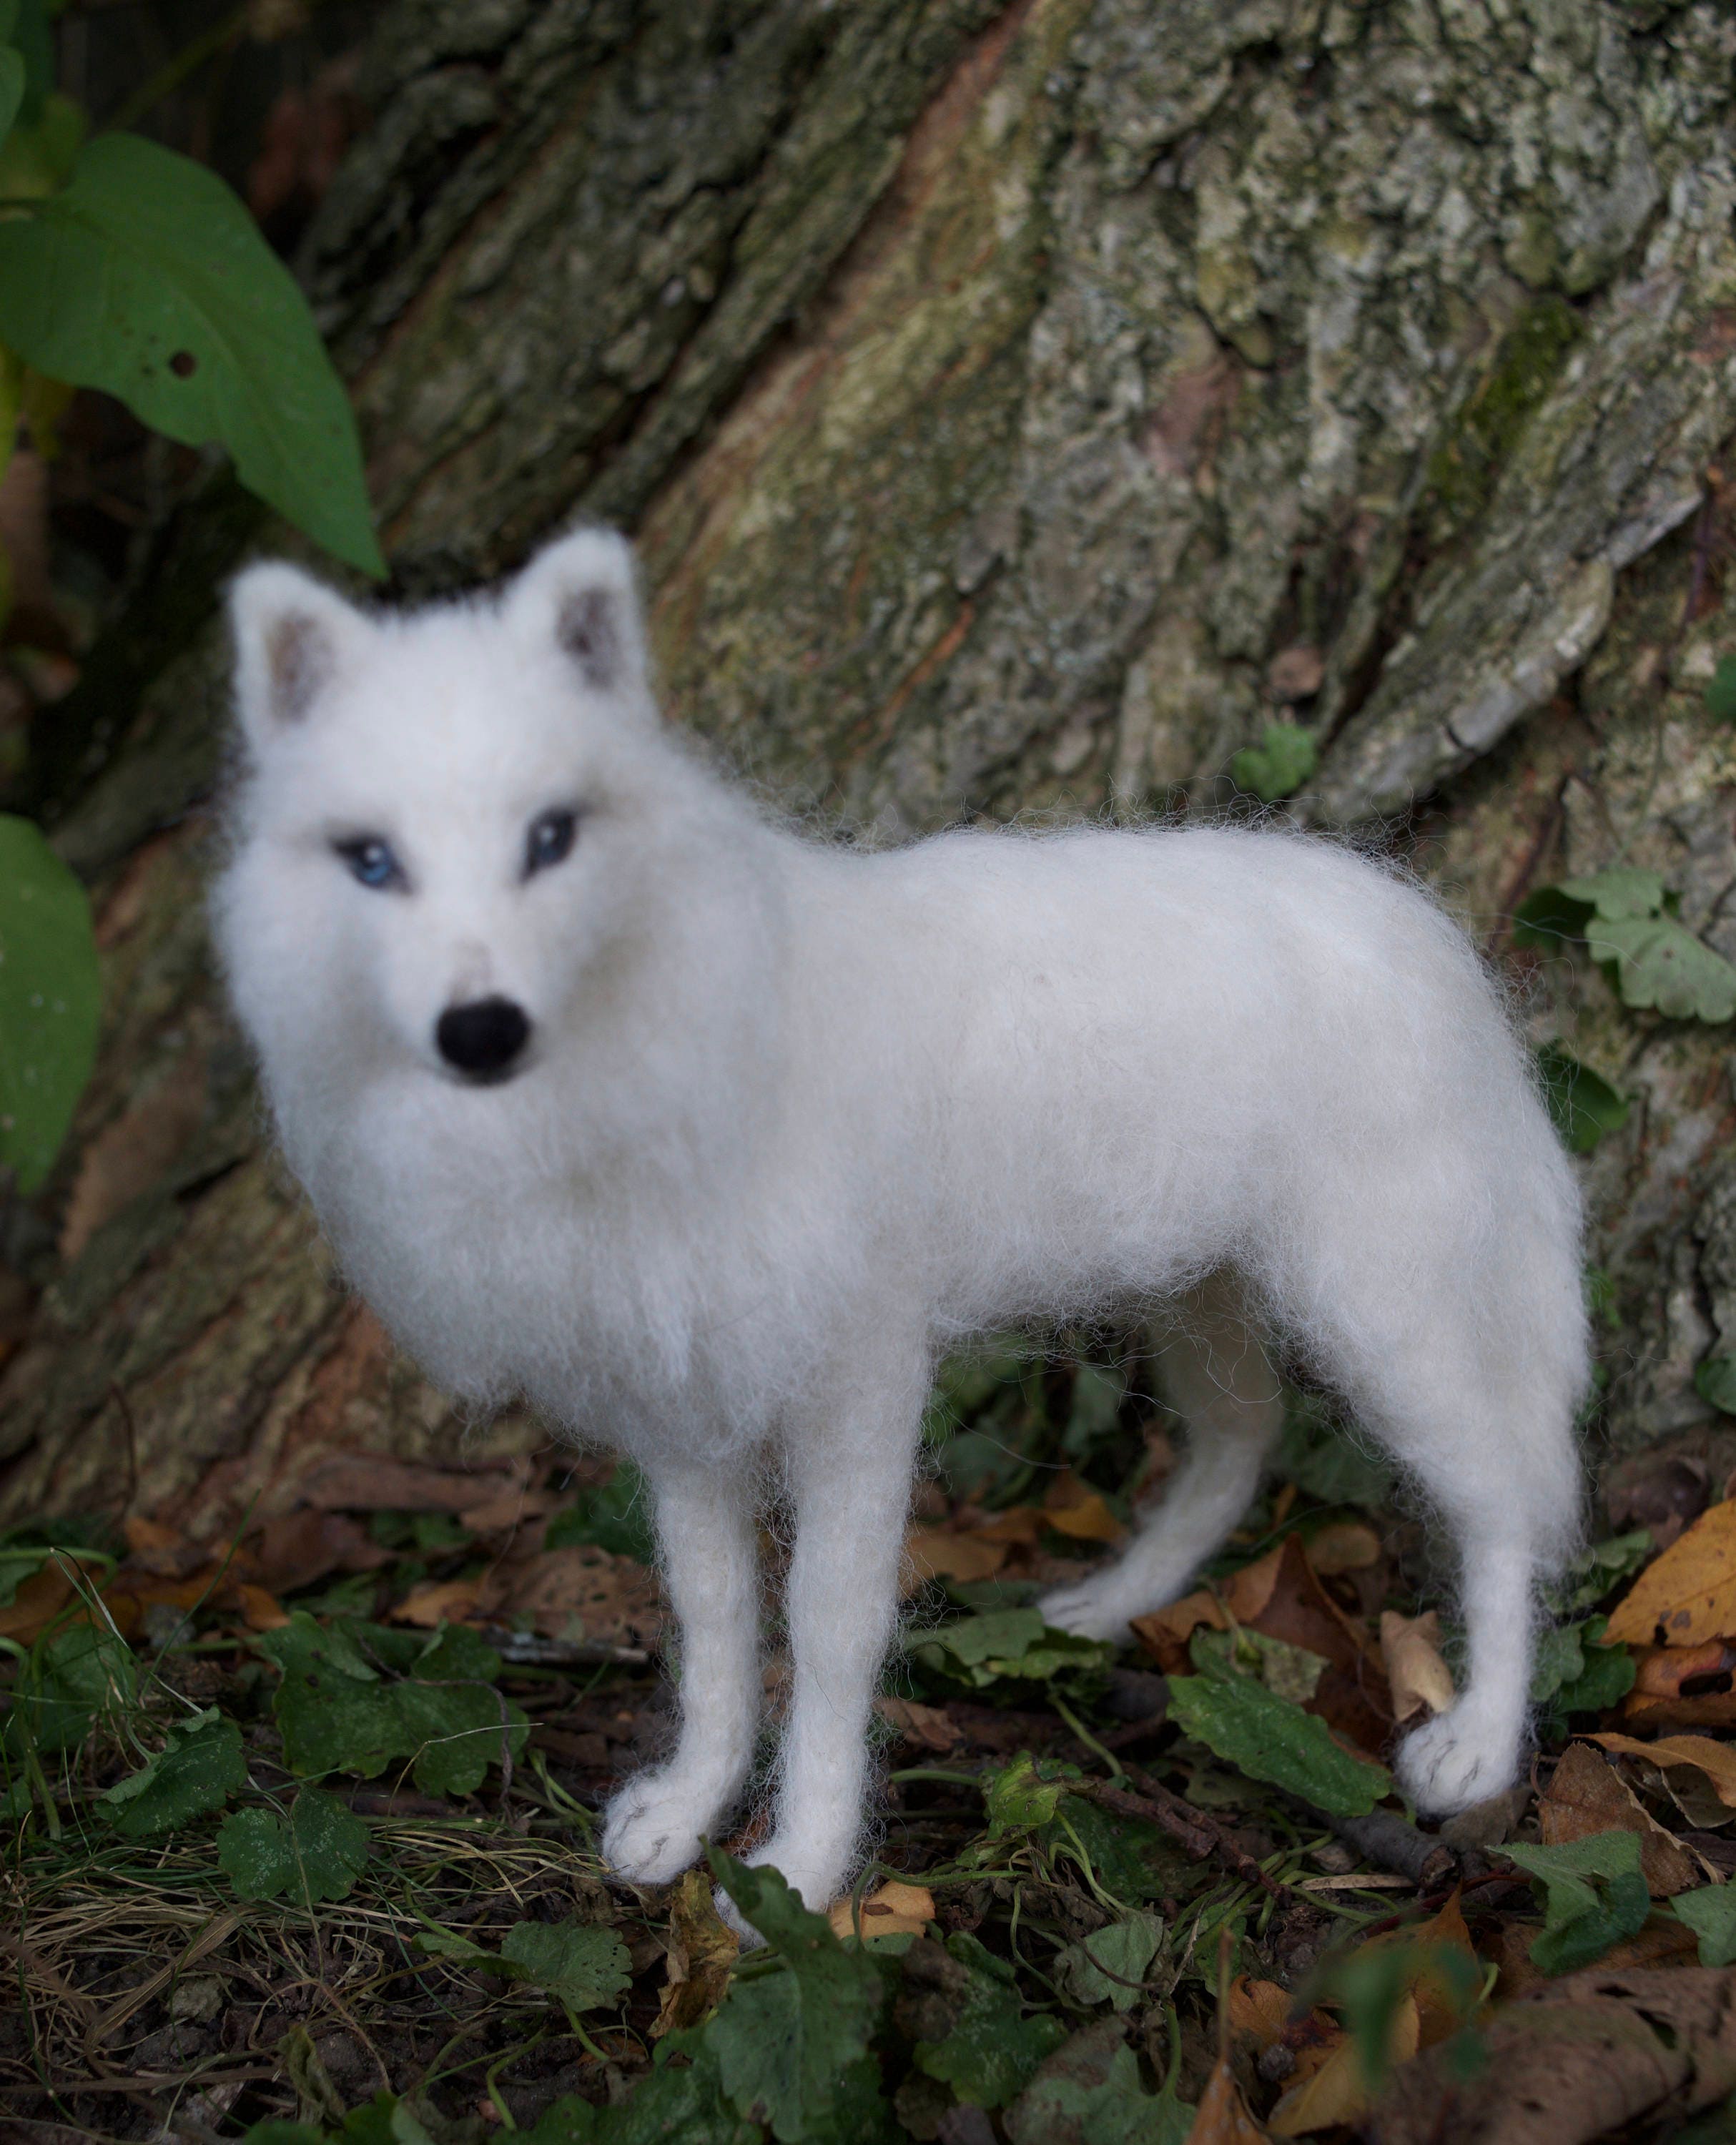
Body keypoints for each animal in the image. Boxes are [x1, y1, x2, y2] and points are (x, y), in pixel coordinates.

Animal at [214, 526, 1586, 1915]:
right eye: (370, 862)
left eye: (551, 838)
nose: (479, 1030)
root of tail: (1431, 942)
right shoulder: (682, 1410)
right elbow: (711, 1620)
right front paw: (685, 1815)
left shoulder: (858, 1382)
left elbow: (828, 1631)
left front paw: (799, 1872)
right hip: (1197, 1287)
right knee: (1238, 1440)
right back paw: (1100, 1611)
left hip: (1384, 1307)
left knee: (1505, 1498)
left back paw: (1475, 1746)